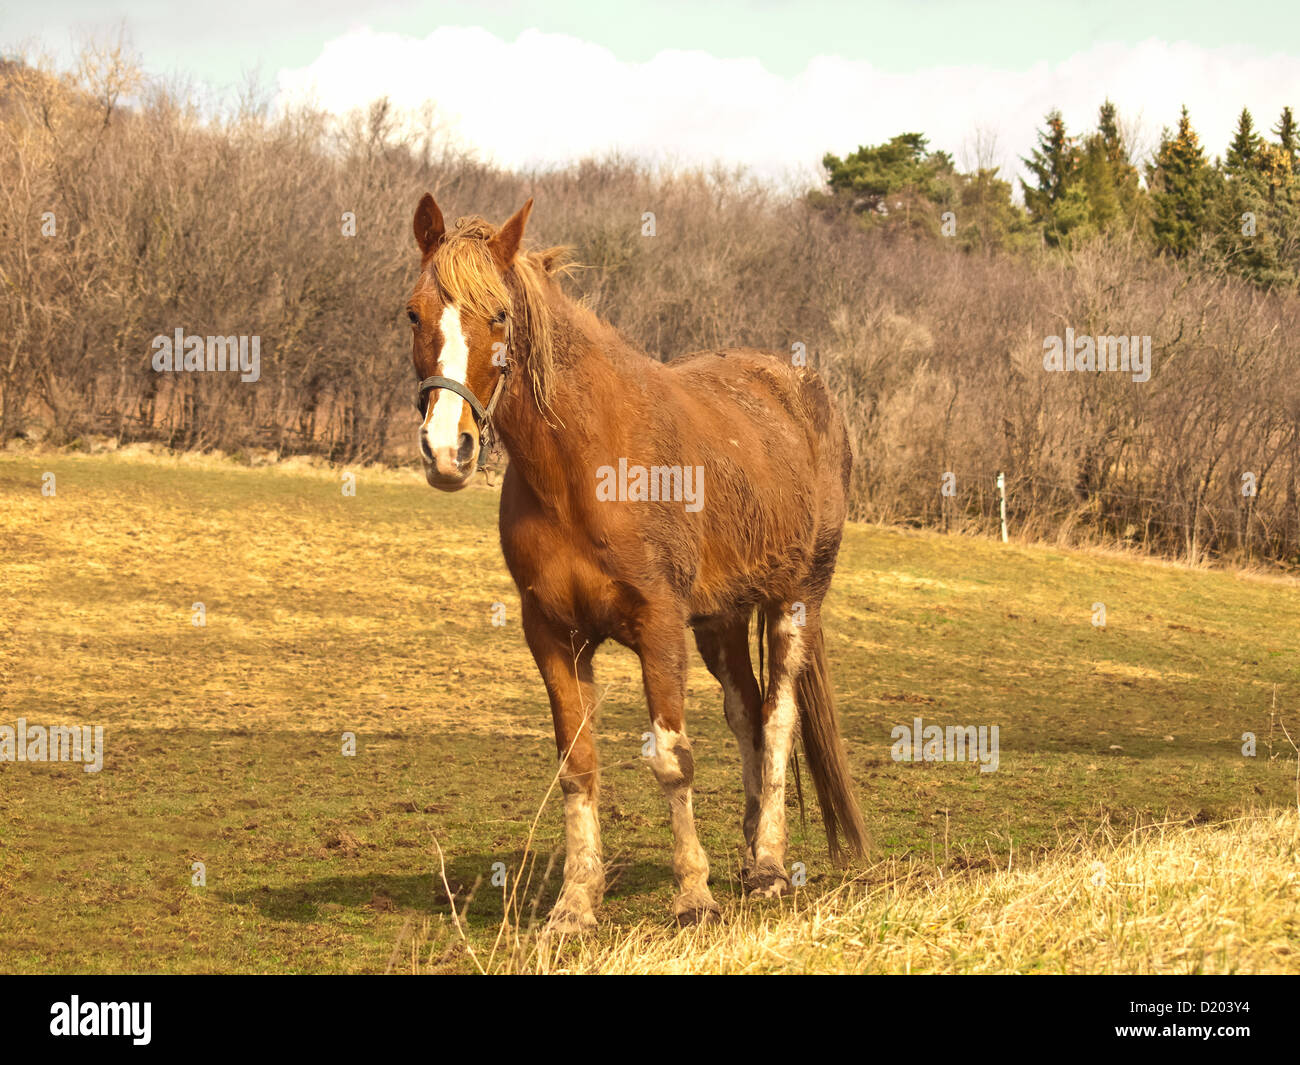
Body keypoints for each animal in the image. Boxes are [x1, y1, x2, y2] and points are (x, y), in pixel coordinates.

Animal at [405, 194, 869, 930]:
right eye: (414, 313)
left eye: (500, 315)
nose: (448, 449)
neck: (584, 467)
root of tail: (801, 388)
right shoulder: (553, 634)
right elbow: (577, 764)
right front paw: (574, 903)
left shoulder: (658, 626)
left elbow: (673, 759)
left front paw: (694, 896)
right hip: (720, 622)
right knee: (746, 715)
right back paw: (748, 854)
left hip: (795, 601)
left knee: (776, 719)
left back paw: (768, 866)